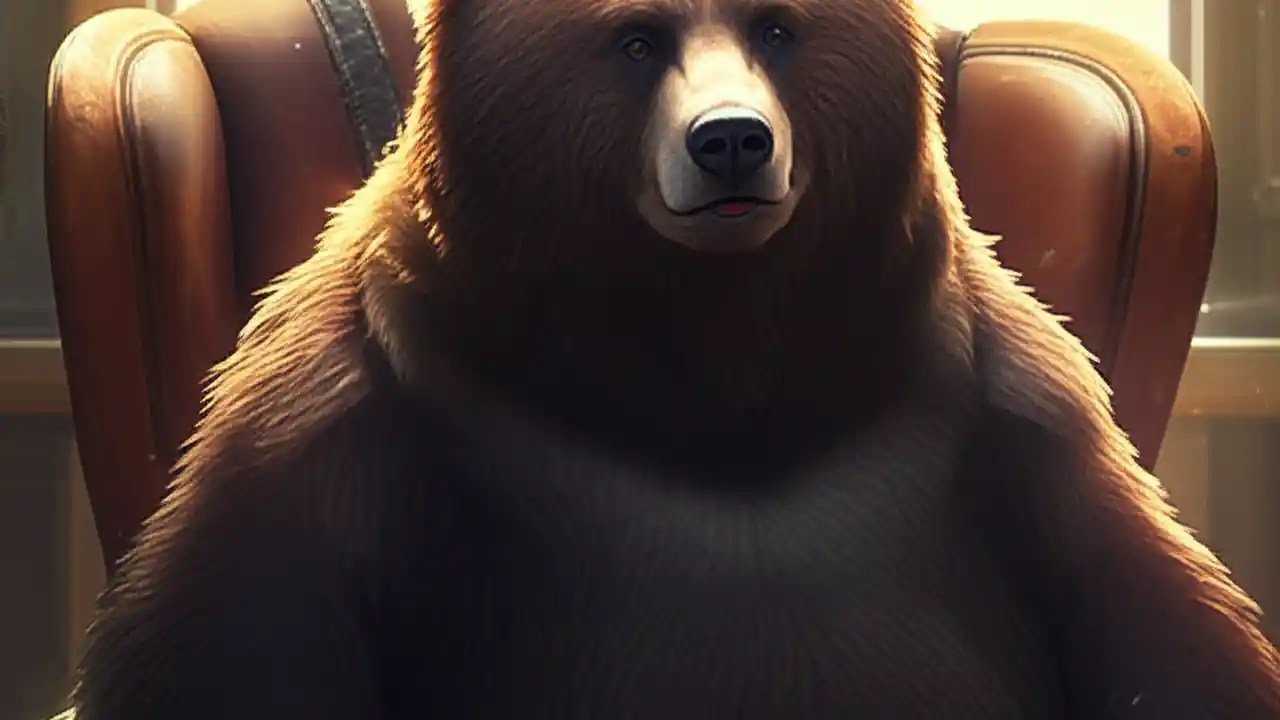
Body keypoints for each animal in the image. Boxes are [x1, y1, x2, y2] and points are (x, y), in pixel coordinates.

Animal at [70, 0, 1280, 717]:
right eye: (636, 39)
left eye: (779, 28)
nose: (732, 139)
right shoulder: (333, 419)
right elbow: (230, 635)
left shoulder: (1006, 410)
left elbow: (1167, 625)